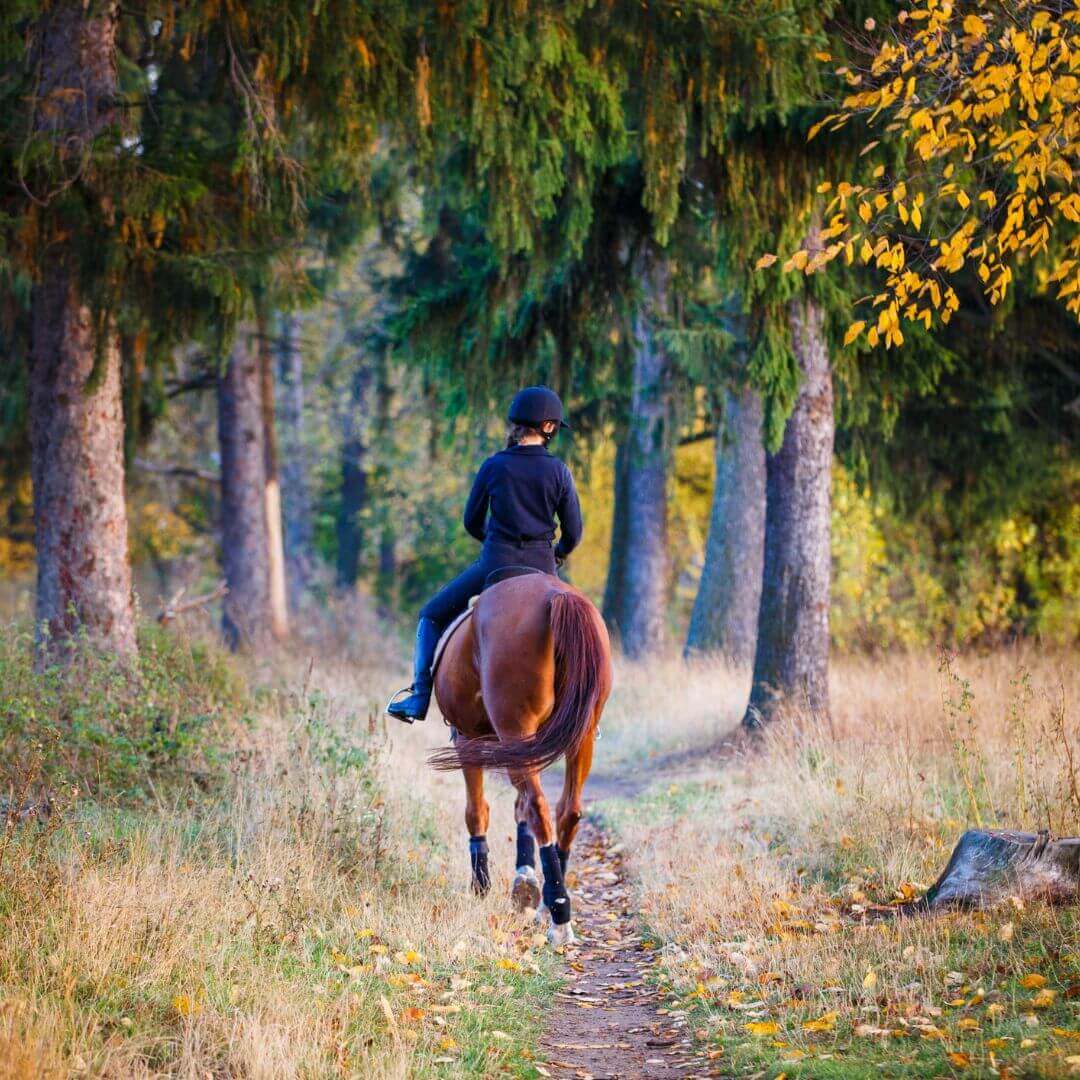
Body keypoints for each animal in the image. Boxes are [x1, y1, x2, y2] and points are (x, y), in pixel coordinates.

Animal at [427, 571, 612, 946]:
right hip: (579, 735)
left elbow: (477, 811)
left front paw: (481, 885)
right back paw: (548, 905)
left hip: (513, 729)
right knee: (566, 810)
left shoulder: (467, 738)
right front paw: (524, 881)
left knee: (539, 807)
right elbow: (519, 809)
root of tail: (556, 596)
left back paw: (559, 912)